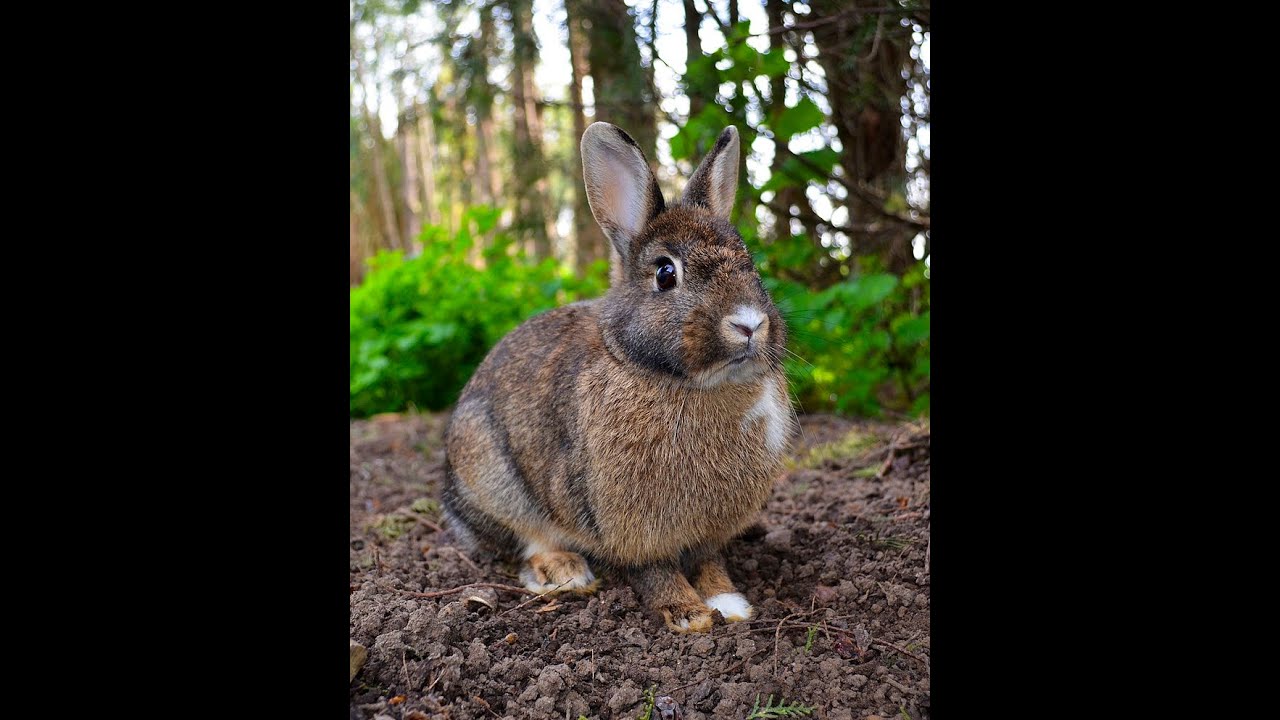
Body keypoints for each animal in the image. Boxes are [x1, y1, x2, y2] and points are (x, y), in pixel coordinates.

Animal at [441, 121, 796, 633]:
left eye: (751, 264)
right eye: (665, 273)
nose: (748, 323)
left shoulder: (709, 533)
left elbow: (709, 562)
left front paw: (728, 602)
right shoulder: (627, 526)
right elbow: (654, 569)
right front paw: (688, 614)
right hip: (491, 475)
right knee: (525, 540)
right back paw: (564, 572)